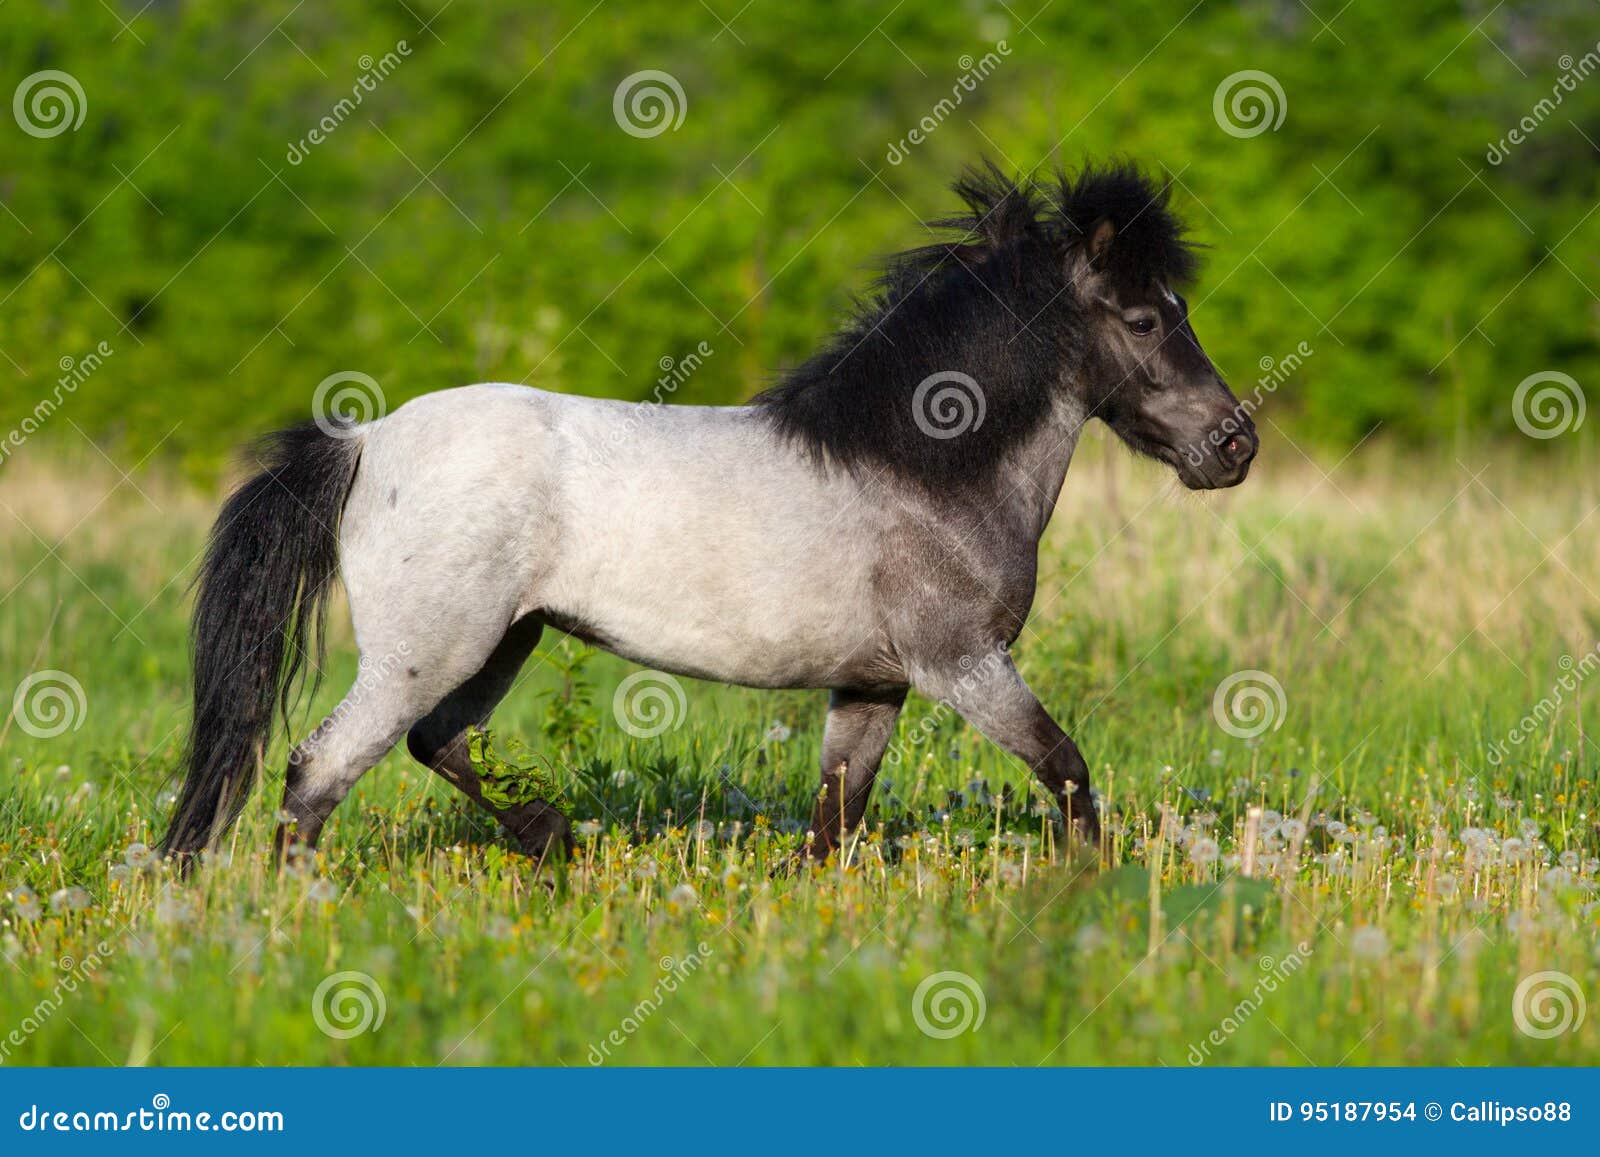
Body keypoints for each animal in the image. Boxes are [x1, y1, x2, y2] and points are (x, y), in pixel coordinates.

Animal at [159, 160, 1257, 866]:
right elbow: (1065, 766)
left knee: (440, 741)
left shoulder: (873, 685)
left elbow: (832, 821)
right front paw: (1092, 888)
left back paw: (557, 844)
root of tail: (363, 442)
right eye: (1146, 318)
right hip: (425, 649)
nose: (1233, 445)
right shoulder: (962, 663)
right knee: (318, 770)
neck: (923, 469)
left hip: (504, 637)